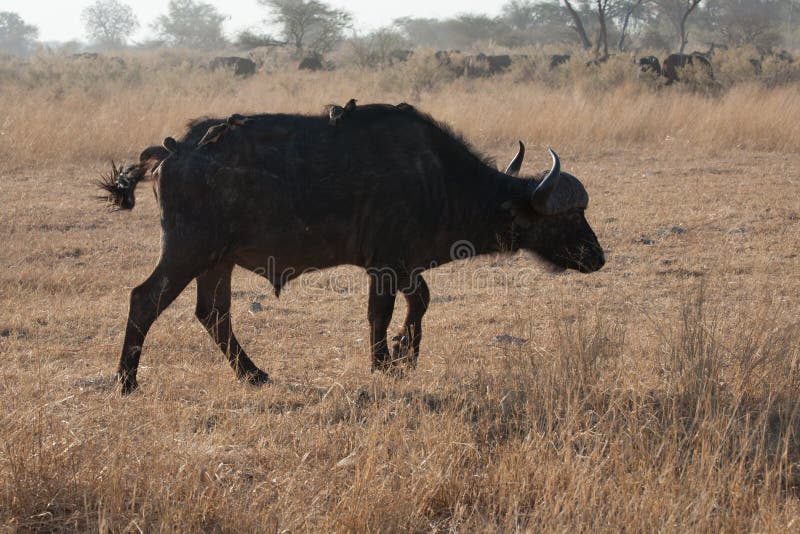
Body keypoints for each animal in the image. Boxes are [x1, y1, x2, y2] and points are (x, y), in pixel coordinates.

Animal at [101, 102, 605, 395]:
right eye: (568, 217)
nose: (598, 257)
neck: (439, 177)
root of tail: (173, 152)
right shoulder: (385, 266)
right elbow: (387, 311)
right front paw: (386, 360)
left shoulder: (401, 265)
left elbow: (420, 301)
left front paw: (404, 352)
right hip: (188, 250)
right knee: (145, 299)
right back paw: (127, 380)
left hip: (217, 261)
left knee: (213, 314)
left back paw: (253, 374)